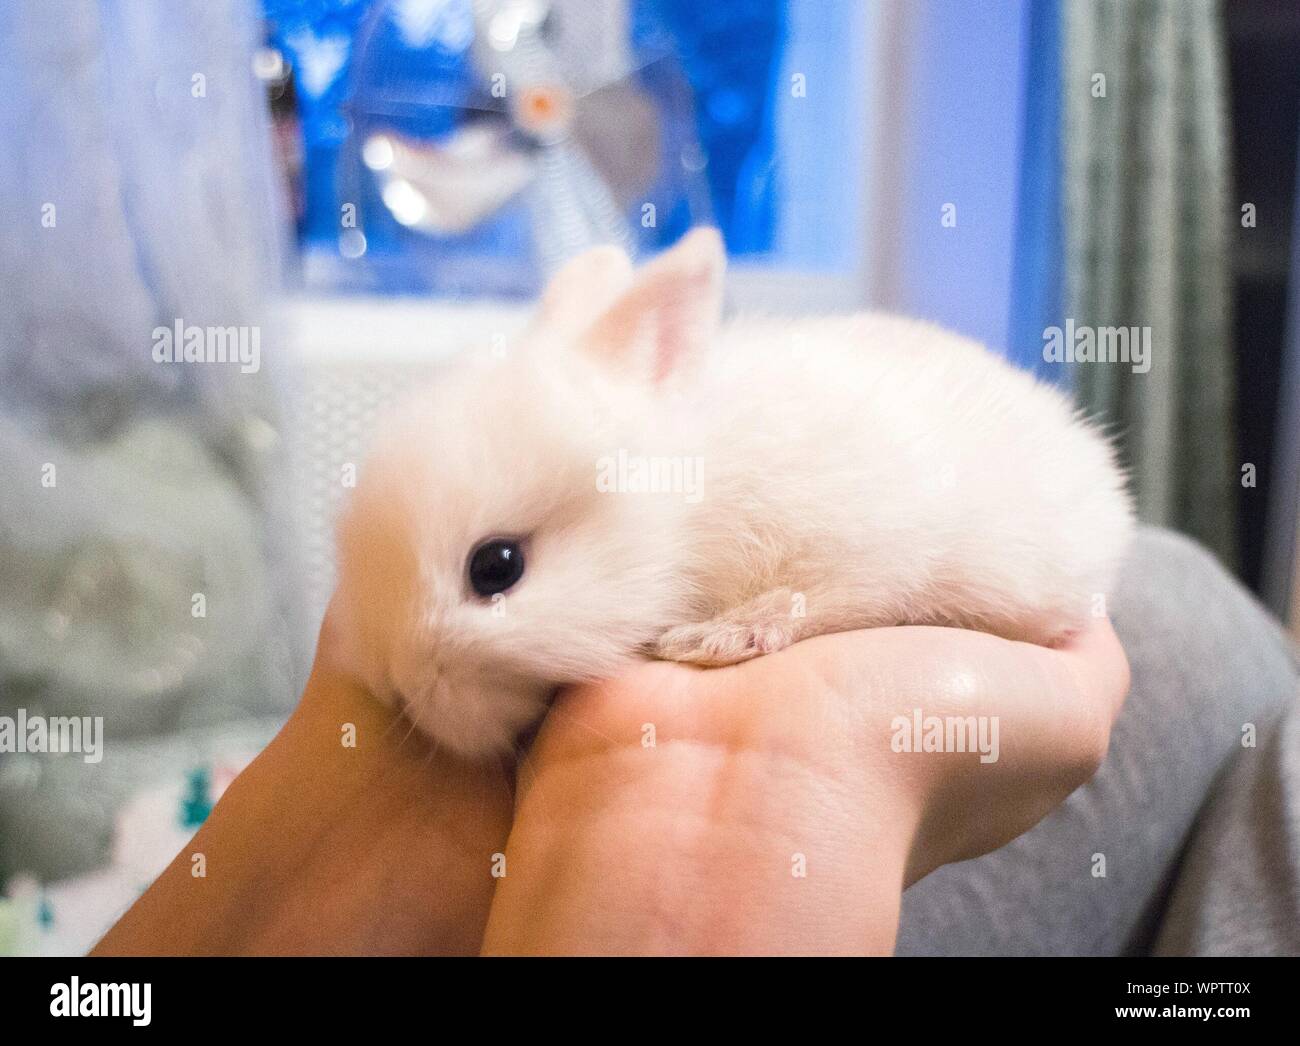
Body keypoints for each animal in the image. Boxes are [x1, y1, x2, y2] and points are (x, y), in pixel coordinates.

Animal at [332, 228, 1134, 757]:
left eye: (496, 567)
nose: (391, 685)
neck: (687, 509)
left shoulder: (867, 547)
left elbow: (820, 596)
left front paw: (710, 641)